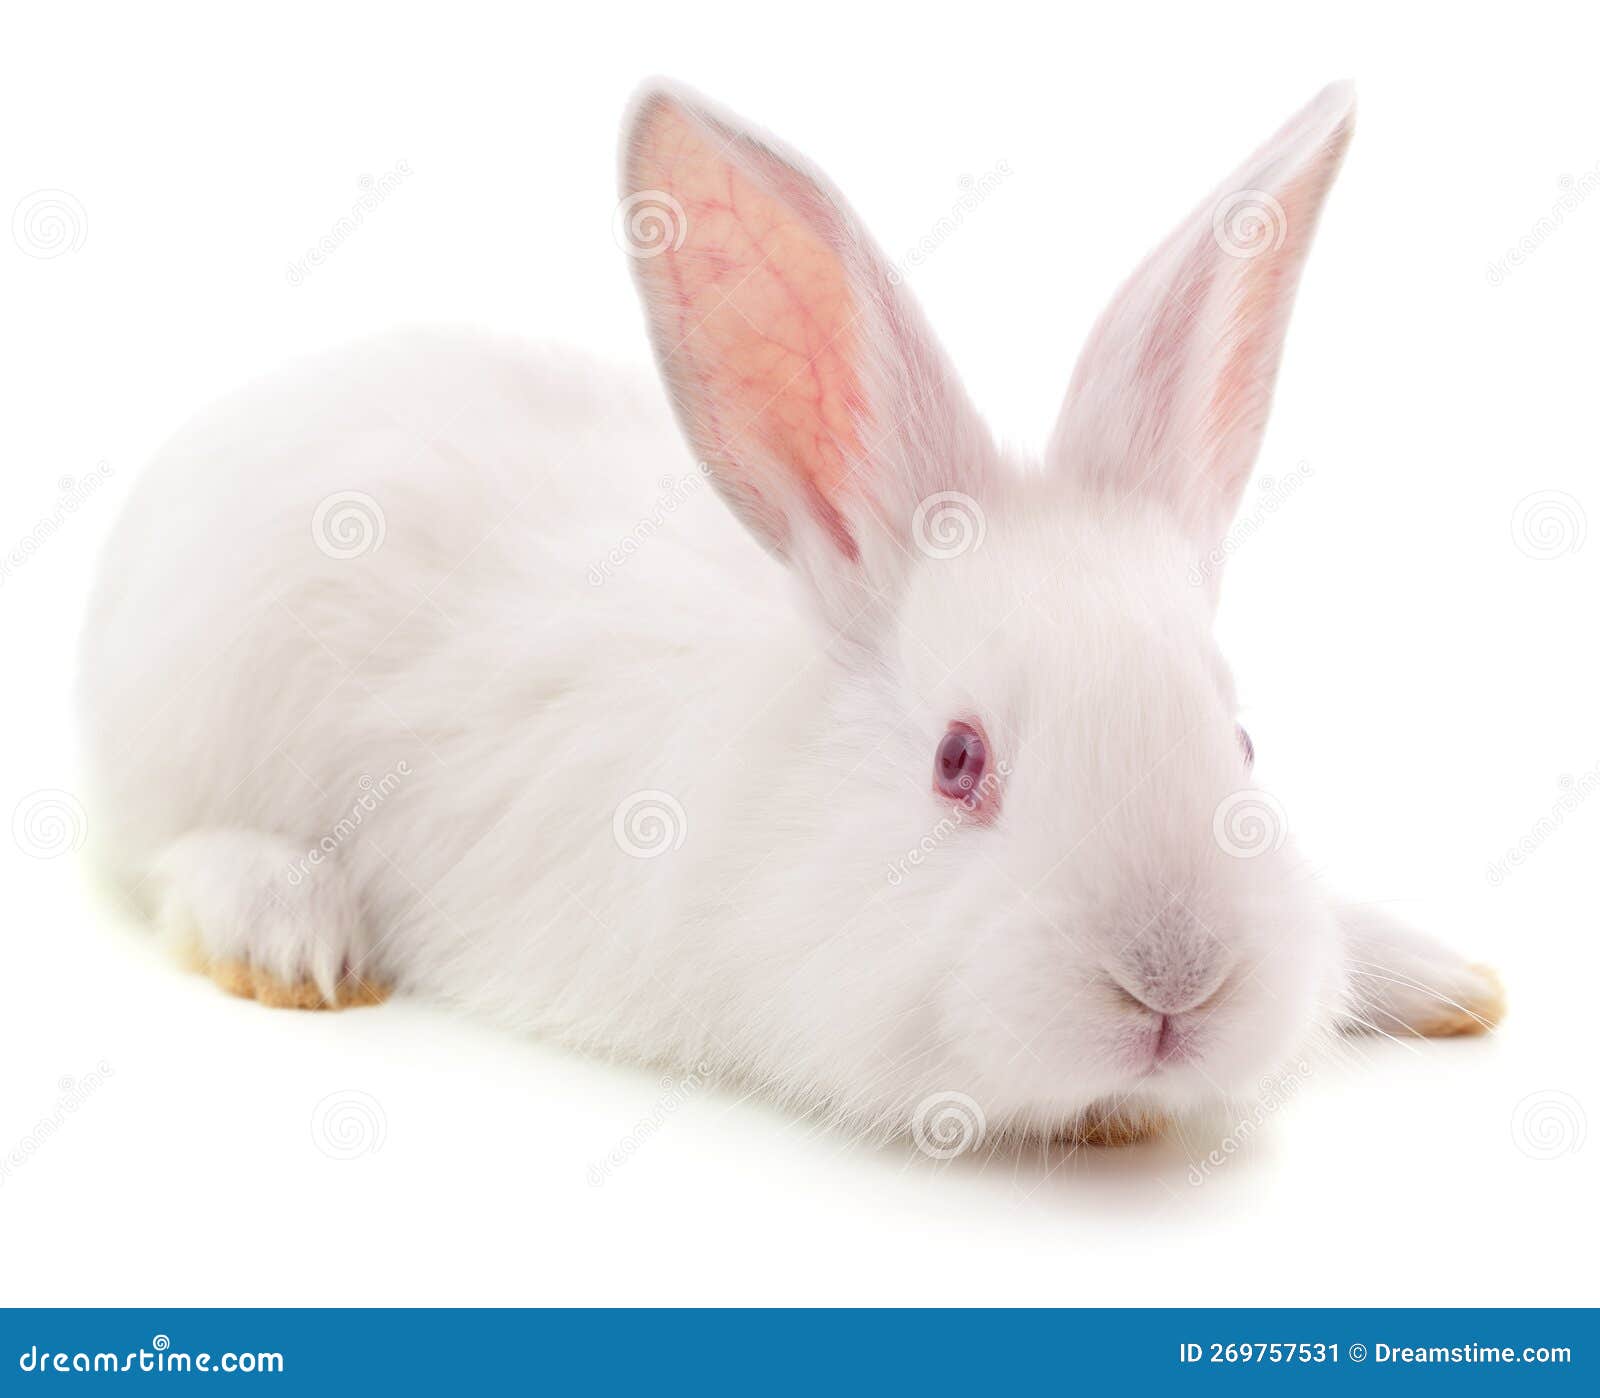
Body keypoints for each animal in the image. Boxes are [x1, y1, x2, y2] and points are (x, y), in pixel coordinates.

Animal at [77, 78, 1503, 1150]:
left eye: (1244, 747)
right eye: (957, 761)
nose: (1174, 984)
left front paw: (1438, 977)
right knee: (171, 854)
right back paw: (290, 934)